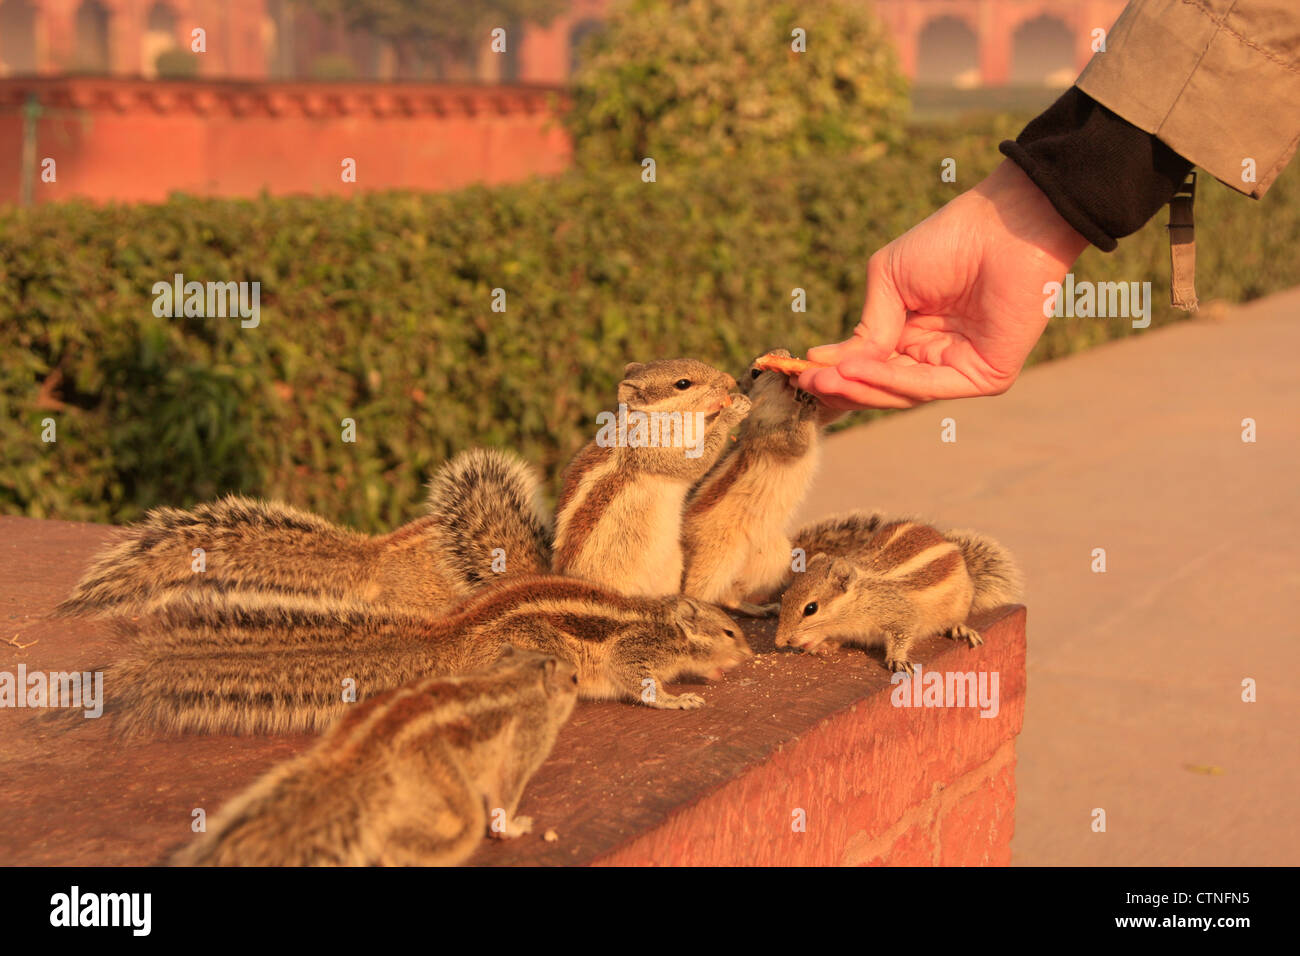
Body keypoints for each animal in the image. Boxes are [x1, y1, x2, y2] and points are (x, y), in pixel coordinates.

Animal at [172, 647, 577, 866]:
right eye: (573, 679)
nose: (578, 677)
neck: (519, 676)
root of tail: (358, 754)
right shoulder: (527, 741)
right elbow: (503, 800)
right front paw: (514, 827)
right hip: (447, 790)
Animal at [681, 349, 842, 616]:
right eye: (756, 373)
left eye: (788, 353)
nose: (785, 364)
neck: (785, 407)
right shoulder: (770, 436)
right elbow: (797, 443)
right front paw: (806, 406)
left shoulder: (821, 420)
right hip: (714, 556)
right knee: (696, 590)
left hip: (772, 556)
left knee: (728, 596)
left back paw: (761, 609)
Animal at [776, 513, 1023, 674]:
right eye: (784, 597)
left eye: (811, 608)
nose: (780, 642)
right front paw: (824, 646)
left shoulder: (899, 613)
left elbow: (903, 634)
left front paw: (897, 660)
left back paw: (960, 628)